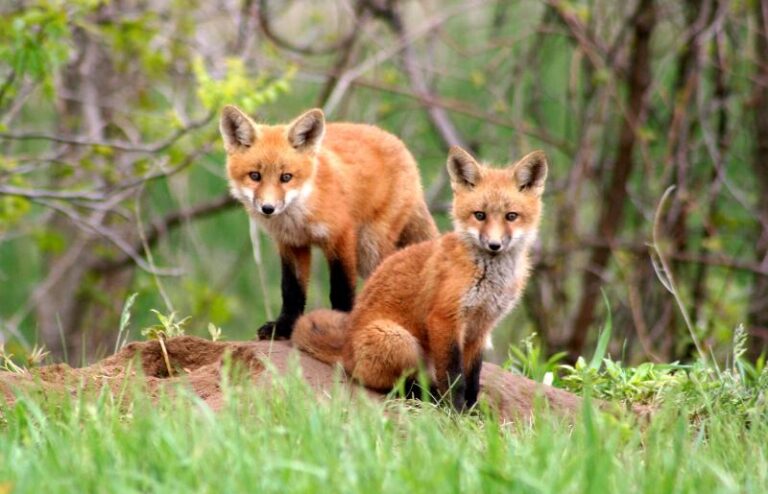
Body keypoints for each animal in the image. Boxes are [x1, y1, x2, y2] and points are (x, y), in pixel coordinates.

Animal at [220, 106, 438, 340]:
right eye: (255, 176)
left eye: (286, 177)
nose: (268, 208)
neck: (299, 216)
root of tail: (400, 145)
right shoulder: (291, 244)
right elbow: (291, 290)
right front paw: (284, 326)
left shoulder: (341, 236)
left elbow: (341, 288)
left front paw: (340, 325)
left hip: (369, 248)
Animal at [291, 146, 548, 410]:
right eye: (479, 215)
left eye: (511, 216)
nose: (494, 245)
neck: (488, 278)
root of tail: (345, 350)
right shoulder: (445, 319)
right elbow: (454, 378)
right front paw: (457, 411)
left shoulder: (481, 328)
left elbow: (472, 377)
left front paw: (472, 409)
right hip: (400, 341)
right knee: (386, 383)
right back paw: (427, 396)